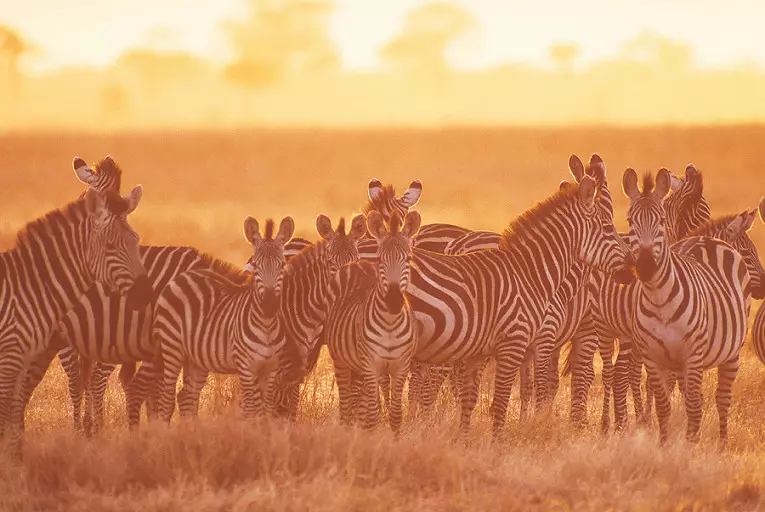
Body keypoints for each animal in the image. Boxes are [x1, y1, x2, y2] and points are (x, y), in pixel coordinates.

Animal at [154, 218, 296, 422]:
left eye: (282, 265)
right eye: (255, 266)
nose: (269, 305)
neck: (266, 326)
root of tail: (183, 275)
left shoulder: (271, 370)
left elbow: (265, 412)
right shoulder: (246, 368)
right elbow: (252, 411)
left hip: (196, 358)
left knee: (187, 395)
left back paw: (191, 429)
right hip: (172, 347)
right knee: (167, 399)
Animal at [320, 209, 420, 432]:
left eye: (408, 259)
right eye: (380, 260)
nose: (393, 301)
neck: (390, 323)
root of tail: (354, 264)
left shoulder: (400, 366)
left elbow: (395, 414)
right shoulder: (371, 365)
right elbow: (373, 414)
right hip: (341, 360)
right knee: (346, 405)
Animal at [620, 169, 752, 444]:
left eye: (660, 220)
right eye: (630, 220)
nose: (645, 267)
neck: (658, 298)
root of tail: (705, 238)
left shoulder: (692, 354)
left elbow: (693, 405)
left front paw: (691, 446)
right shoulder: (653, 358)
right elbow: (663, 406)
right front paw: (665, 445)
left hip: (731, 352)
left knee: (722, 399)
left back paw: (722, 444)